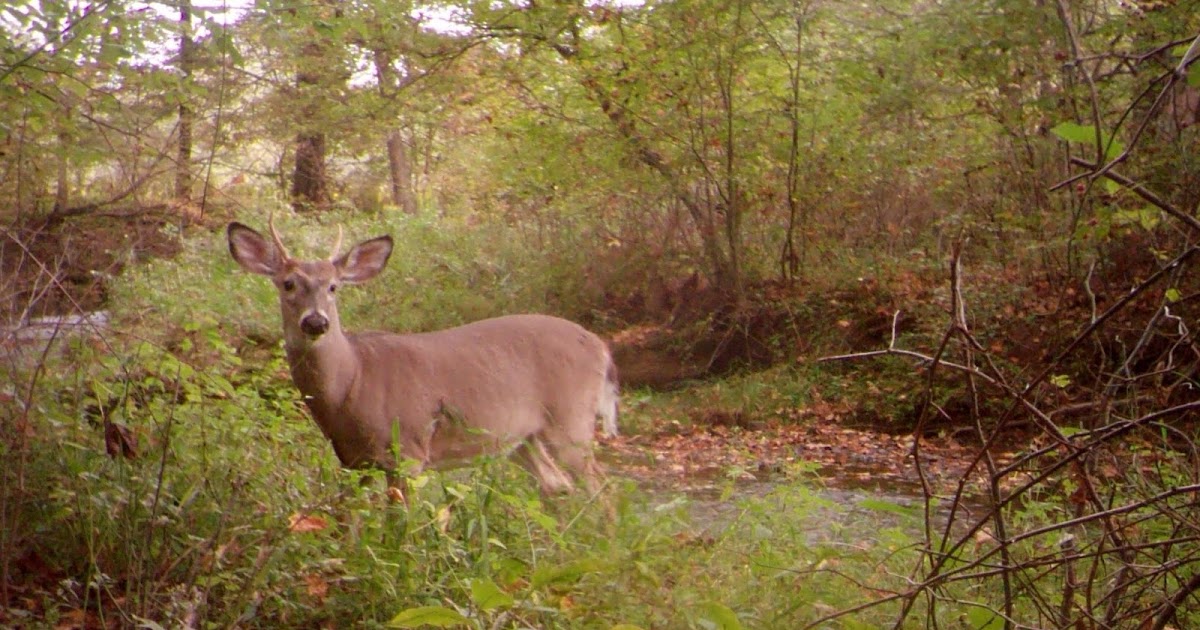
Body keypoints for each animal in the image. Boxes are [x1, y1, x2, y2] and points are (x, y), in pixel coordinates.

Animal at [226, 217, 619, 499]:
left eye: (334, 287)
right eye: (288, 283)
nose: (316, 322)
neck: (353, 380)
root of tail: (601, 347)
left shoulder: (409, 453)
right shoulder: (352, 462)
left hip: (570, 418)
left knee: (599, 486)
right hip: (522, 437)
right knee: (557, 485)